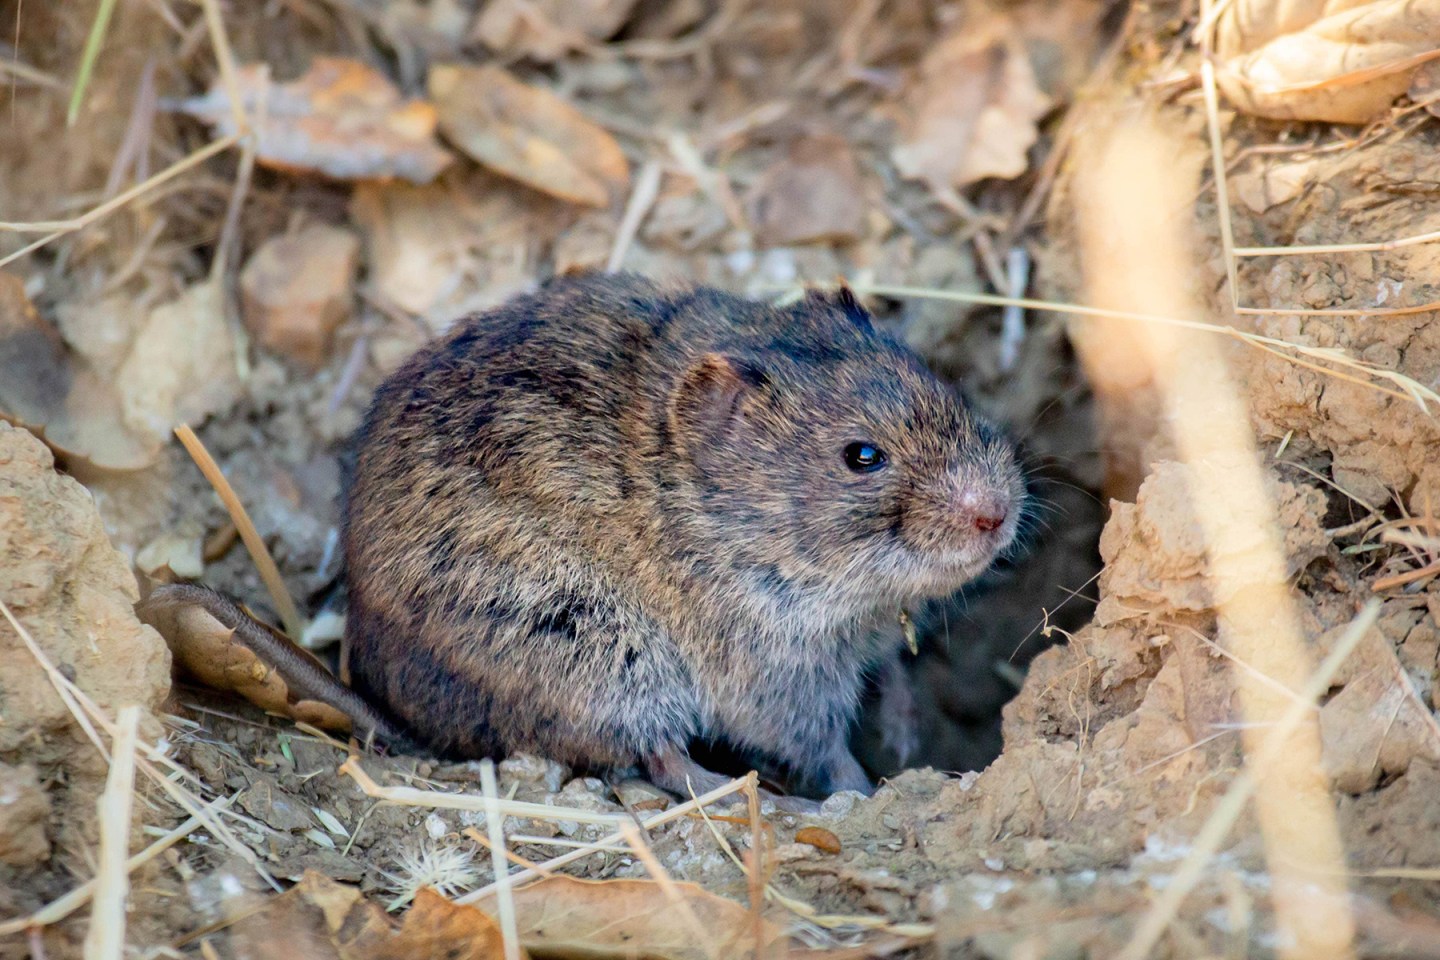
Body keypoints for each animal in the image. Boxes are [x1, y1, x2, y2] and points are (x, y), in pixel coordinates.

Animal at [145, 274, 1026, 805]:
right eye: (861, 457)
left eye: (942, 386)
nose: (999, 512)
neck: (706, 503)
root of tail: (400, 716)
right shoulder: (768, 666)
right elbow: (820, 745)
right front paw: (867, 793)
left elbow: (894, 665)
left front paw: (905, 729)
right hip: (597, 652)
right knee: (660, 758)